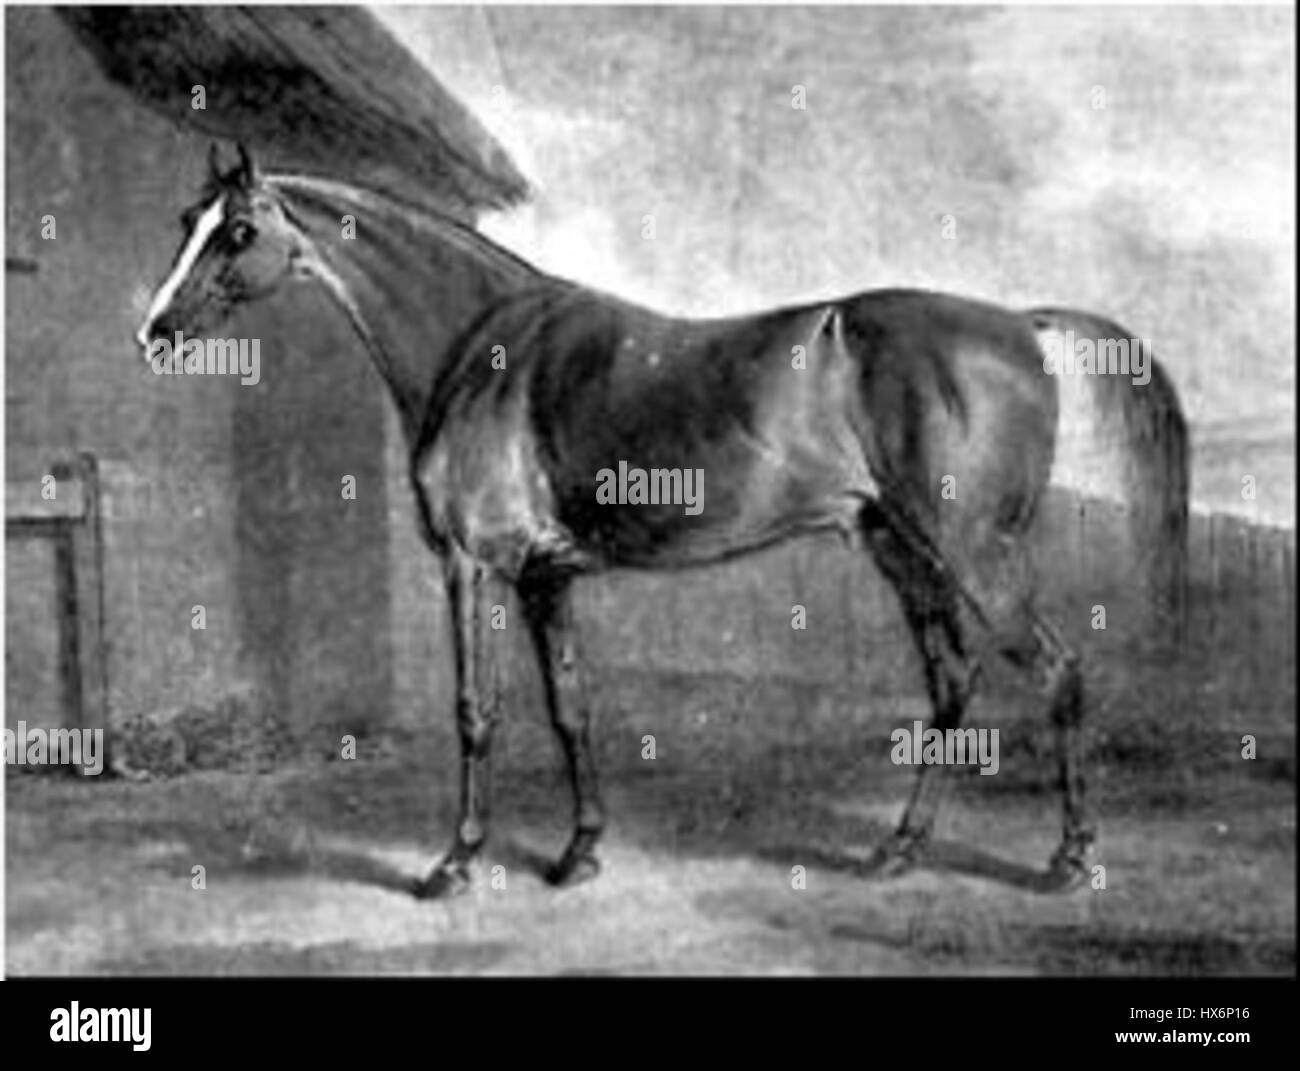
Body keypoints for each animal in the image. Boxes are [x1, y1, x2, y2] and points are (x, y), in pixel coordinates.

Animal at [137, 144, 1186, 896]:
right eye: (187, 221)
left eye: (235, 231)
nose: (154, 330)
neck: (479, 347)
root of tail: (1020, 323)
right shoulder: (546, 577)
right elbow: (570, 707)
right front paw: (578, 854)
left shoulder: (474, 564)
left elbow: (478, 710)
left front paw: (455, 863)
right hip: (902, 549)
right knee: (952, 684)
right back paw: (897, 850)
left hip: (975, 554)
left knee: (1057, 674)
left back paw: (1066, 860)